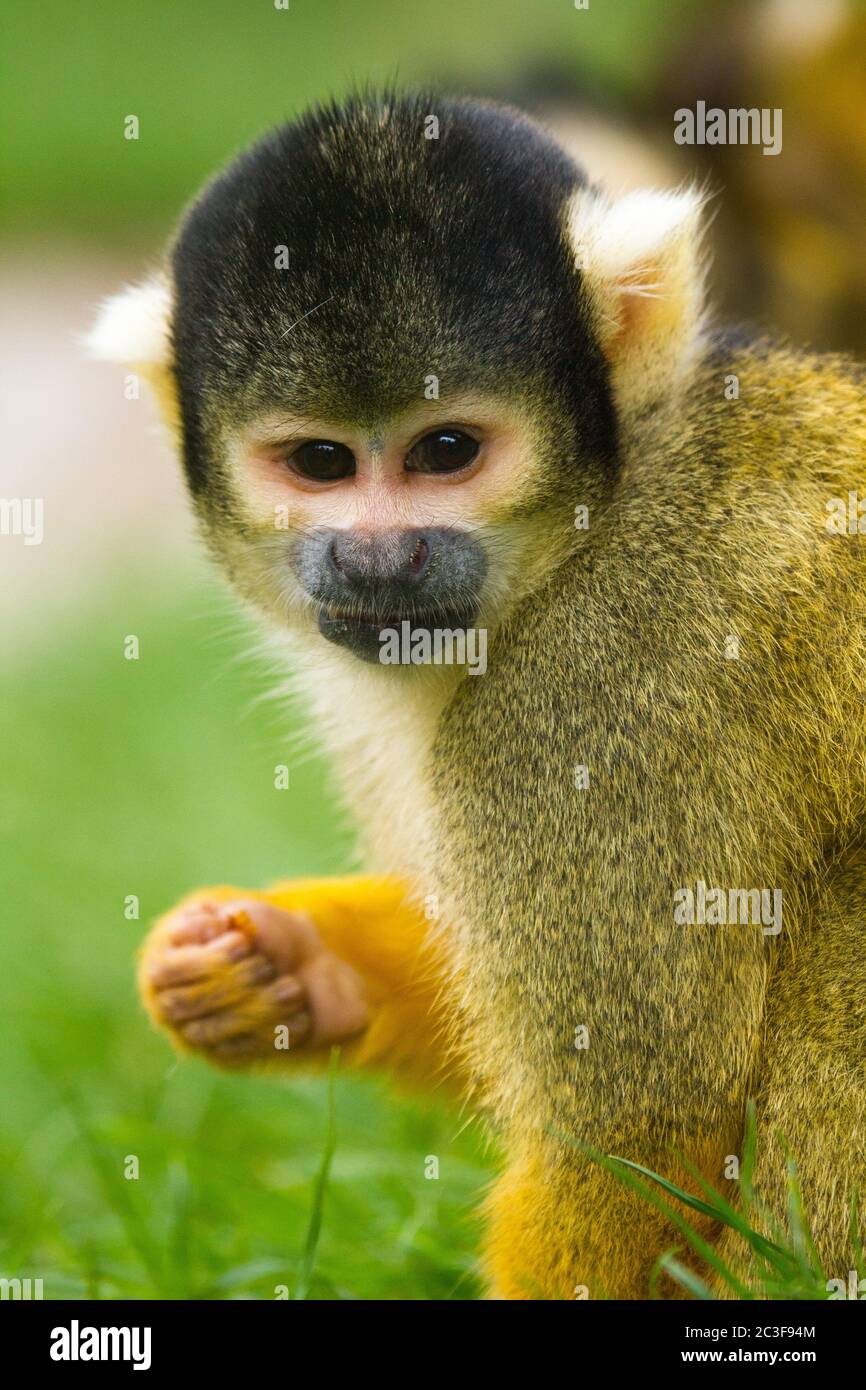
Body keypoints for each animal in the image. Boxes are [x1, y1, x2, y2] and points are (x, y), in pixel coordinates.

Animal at [88, 91, 866, 1301]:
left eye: (445, 449)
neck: (593, 524)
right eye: (320, 463)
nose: (381, 560)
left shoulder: (600, 695)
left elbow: (634, 1124)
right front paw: (286, 969)